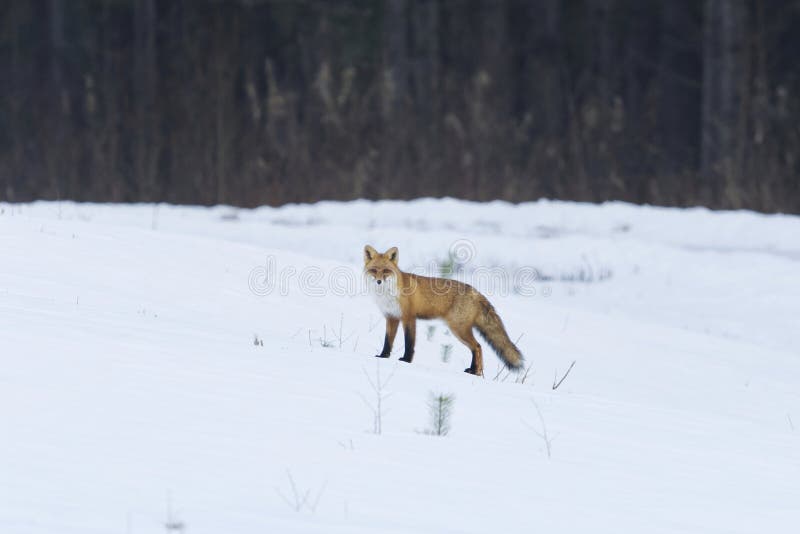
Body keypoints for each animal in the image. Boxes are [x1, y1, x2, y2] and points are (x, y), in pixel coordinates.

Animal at [363, 245, 523, 376]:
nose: (379, 281)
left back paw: (475, 371)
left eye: (386, 271)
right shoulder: (392, 317)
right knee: (477, 348)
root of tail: (475, 291)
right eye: (374, 270)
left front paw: (406, 360)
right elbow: (388, 341)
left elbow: (409, 343)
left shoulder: (409, 317)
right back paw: (474, 371)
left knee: (477, 347)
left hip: (458, 329)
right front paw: (383, 356)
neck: (387, 294)